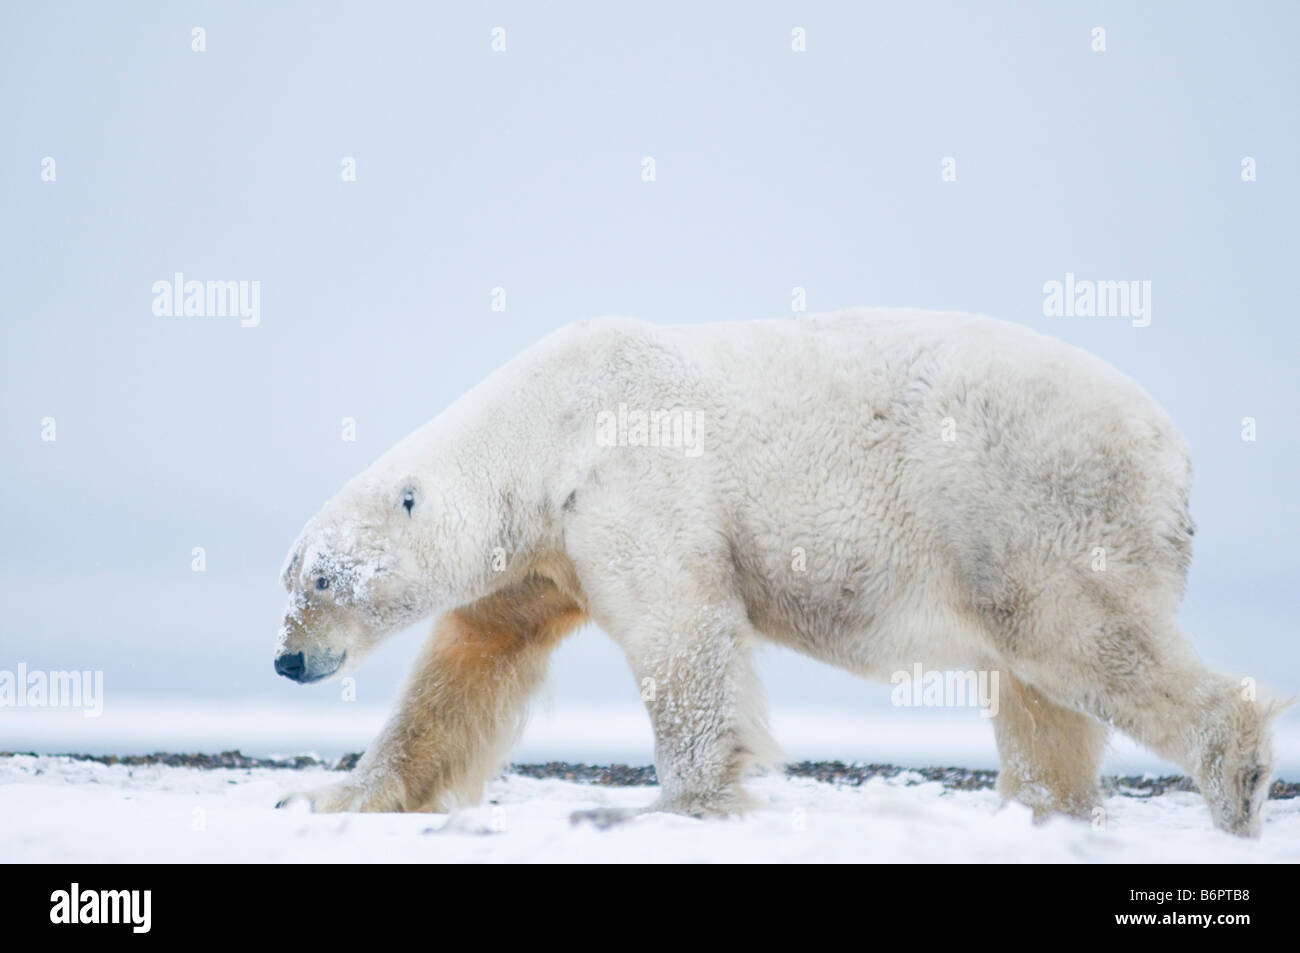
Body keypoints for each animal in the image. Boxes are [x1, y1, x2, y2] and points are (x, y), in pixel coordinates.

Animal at [273, 308, 1278, 835]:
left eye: (322, 583)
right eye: (290, 580)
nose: (288, 660)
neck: (549, 425)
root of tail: (1172, 451)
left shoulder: (637, 487)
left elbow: (682, 638)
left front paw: (675, 807)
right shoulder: (544, 554)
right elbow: (468, 664)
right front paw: (329, 792)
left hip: (1034, 504)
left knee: (1083, 642)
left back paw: (1236, 782)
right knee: (1038, 693)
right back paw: (1046, 810)